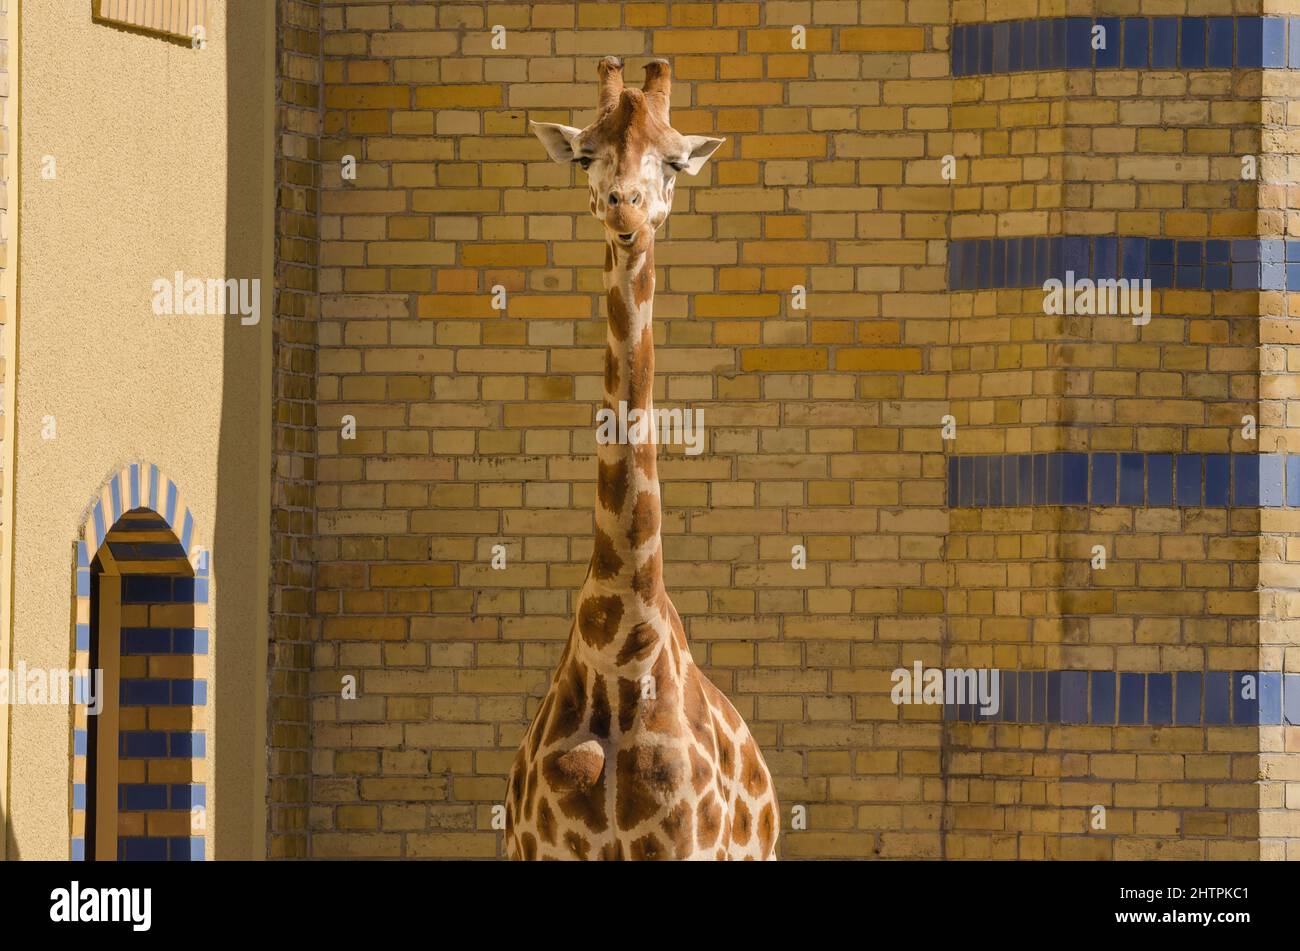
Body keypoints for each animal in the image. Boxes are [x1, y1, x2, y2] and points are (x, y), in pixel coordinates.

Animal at [504, 57, 779, 861]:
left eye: (675, 159)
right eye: (586, 155)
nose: (626, 208)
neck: (620, 656)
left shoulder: (686, 846)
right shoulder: (541, 848)